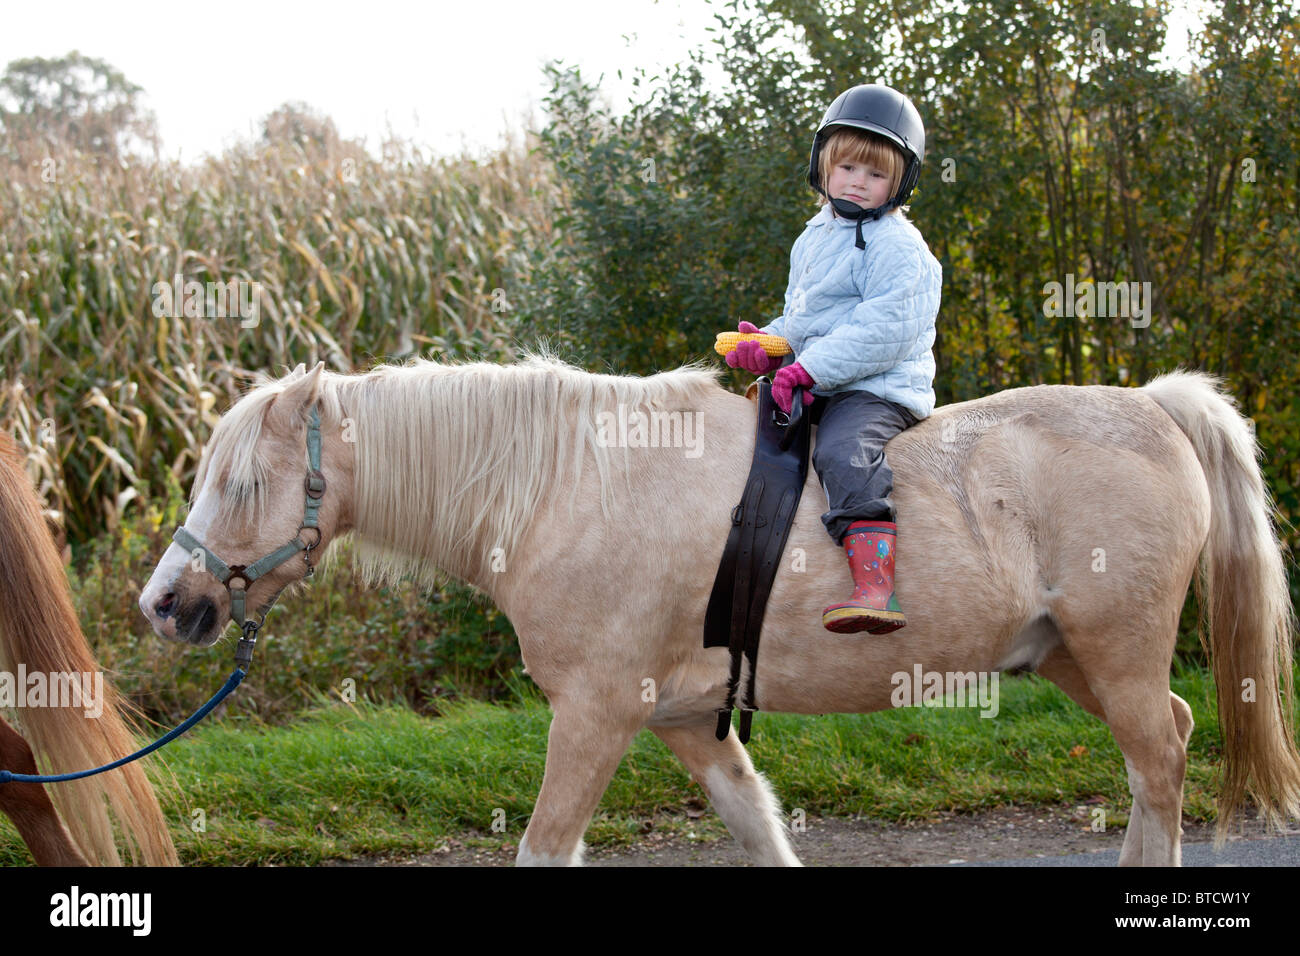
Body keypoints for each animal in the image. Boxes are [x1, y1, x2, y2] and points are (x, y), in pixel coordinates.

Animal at [137, 353, 1300, 866]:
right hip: (1073, 657)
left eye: (243, 483)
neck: (564, 484)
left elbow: (545, 847)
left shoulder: (595, 717)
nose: (166, 603)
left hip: (1119, 652)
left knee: (1161, 761)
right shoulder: (690, 722)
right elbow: (758, 825)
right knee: (1162, 752)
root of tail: (1154, 406)